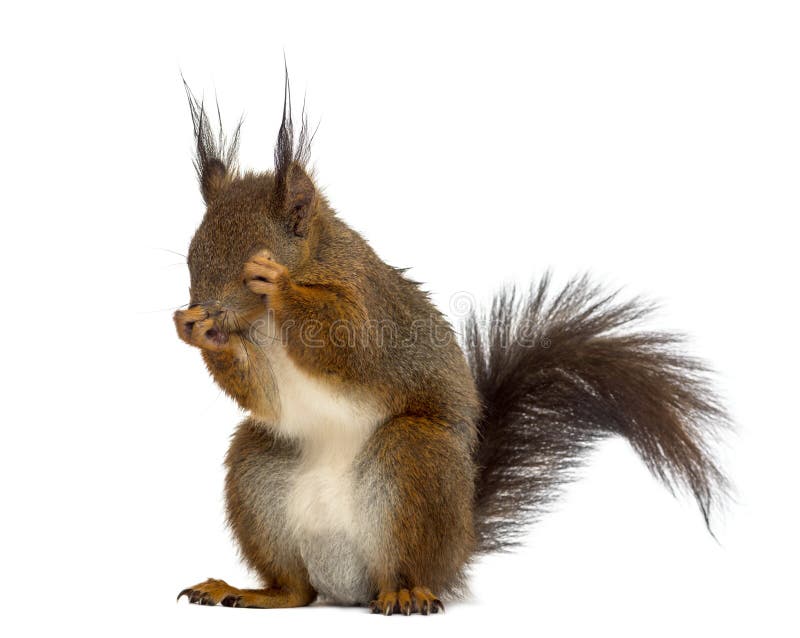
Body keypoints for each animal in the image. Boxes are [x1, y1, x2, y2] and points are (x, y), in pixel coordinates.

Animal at [174, 75, 729, 615]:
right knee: (297, 589)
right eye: (191, 259)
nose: (199, 308)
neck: (265, 323)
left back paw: (405, 593)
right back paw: (253, 591)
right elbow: (264, 393)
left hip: (416, 459)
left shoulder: (370, 302)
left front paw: (279, 284)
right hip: (258, 470)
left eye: (249, 265)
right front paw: (196, 331)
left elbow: (349, 342)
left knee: (402, 563)